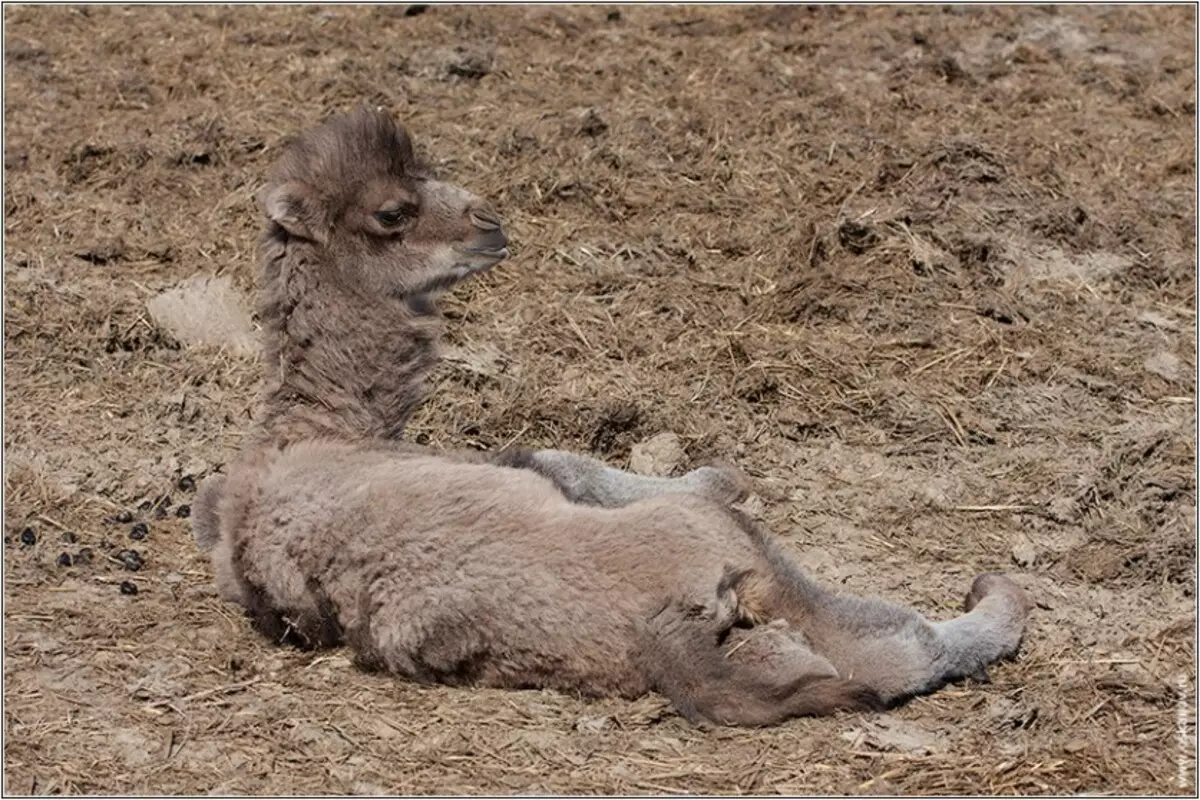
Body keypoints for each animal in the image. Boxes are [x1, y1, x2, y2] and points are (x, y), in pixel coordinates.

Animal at [196, 109, 1032, 729]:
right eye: (393, 212)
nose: (489, 222)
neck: (321, 433)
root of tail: (663, 631)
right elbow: (561, 460)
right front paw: (719, 470)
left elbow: (541, 453)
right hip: (735, 555)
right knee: (894, 644)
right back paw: (996, 593)